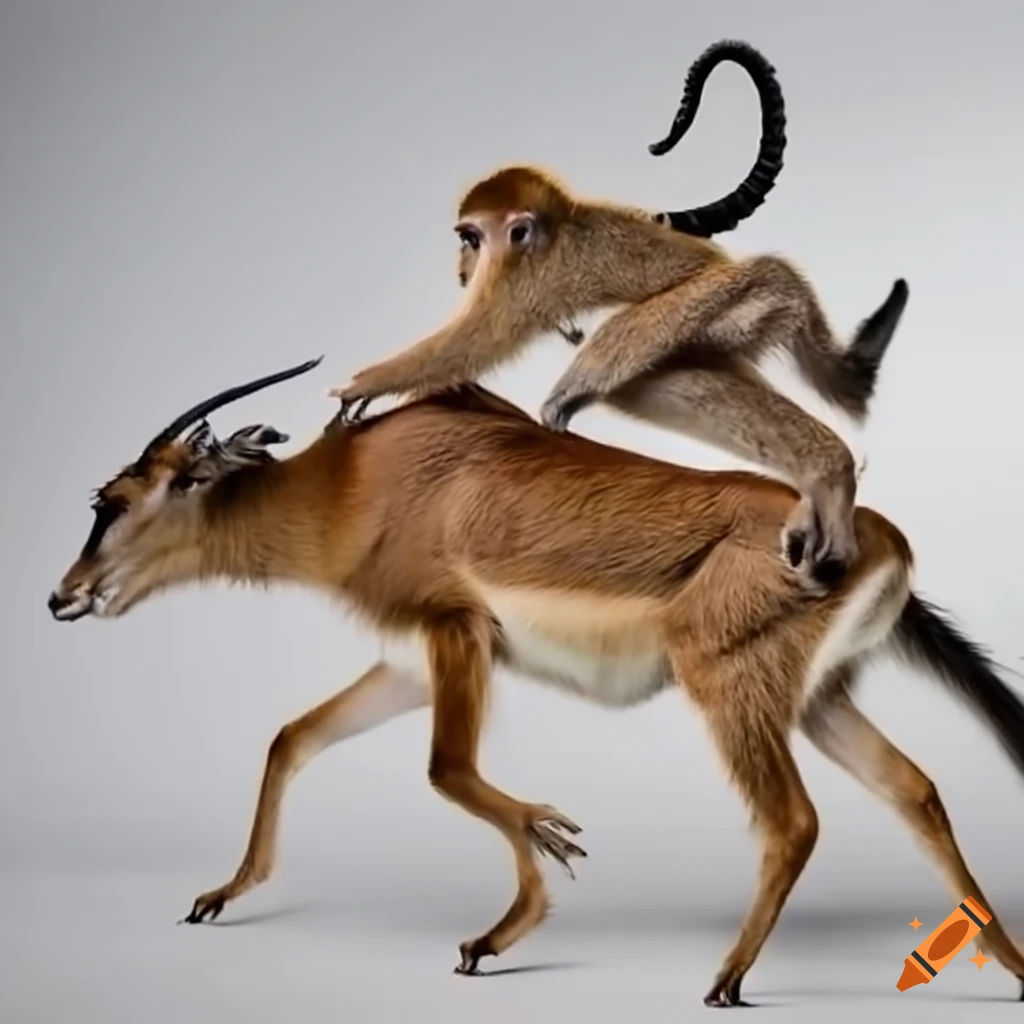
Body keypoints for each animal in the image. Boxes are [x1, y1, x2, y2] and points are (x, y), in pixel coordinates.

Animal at [48, 357, 1024, 1007]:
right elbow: (293, 738)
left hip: (728, 687)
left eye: (115, 502)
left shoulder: (456, 633)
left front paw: (513, 906)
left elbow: (448, 770)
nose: (64, 597)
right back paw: (1011, 968)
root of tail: (880, 541)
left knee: (793, 820)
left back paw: (726, 979)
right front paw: (219, 896)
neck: (355, 484)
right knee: (916, 790)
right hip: (820, 700)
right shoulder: (409, 661)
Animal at [329, 39, 910, 589]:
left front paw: (363, 386)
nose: (462, 268)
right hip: (708, 328)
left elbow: (473, 342)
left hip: (722, 300)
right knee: (655, 384)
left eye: (472, 239)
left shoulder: (523, 282)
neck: (556, 227)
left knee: (755, 288)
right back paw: (825, 469)